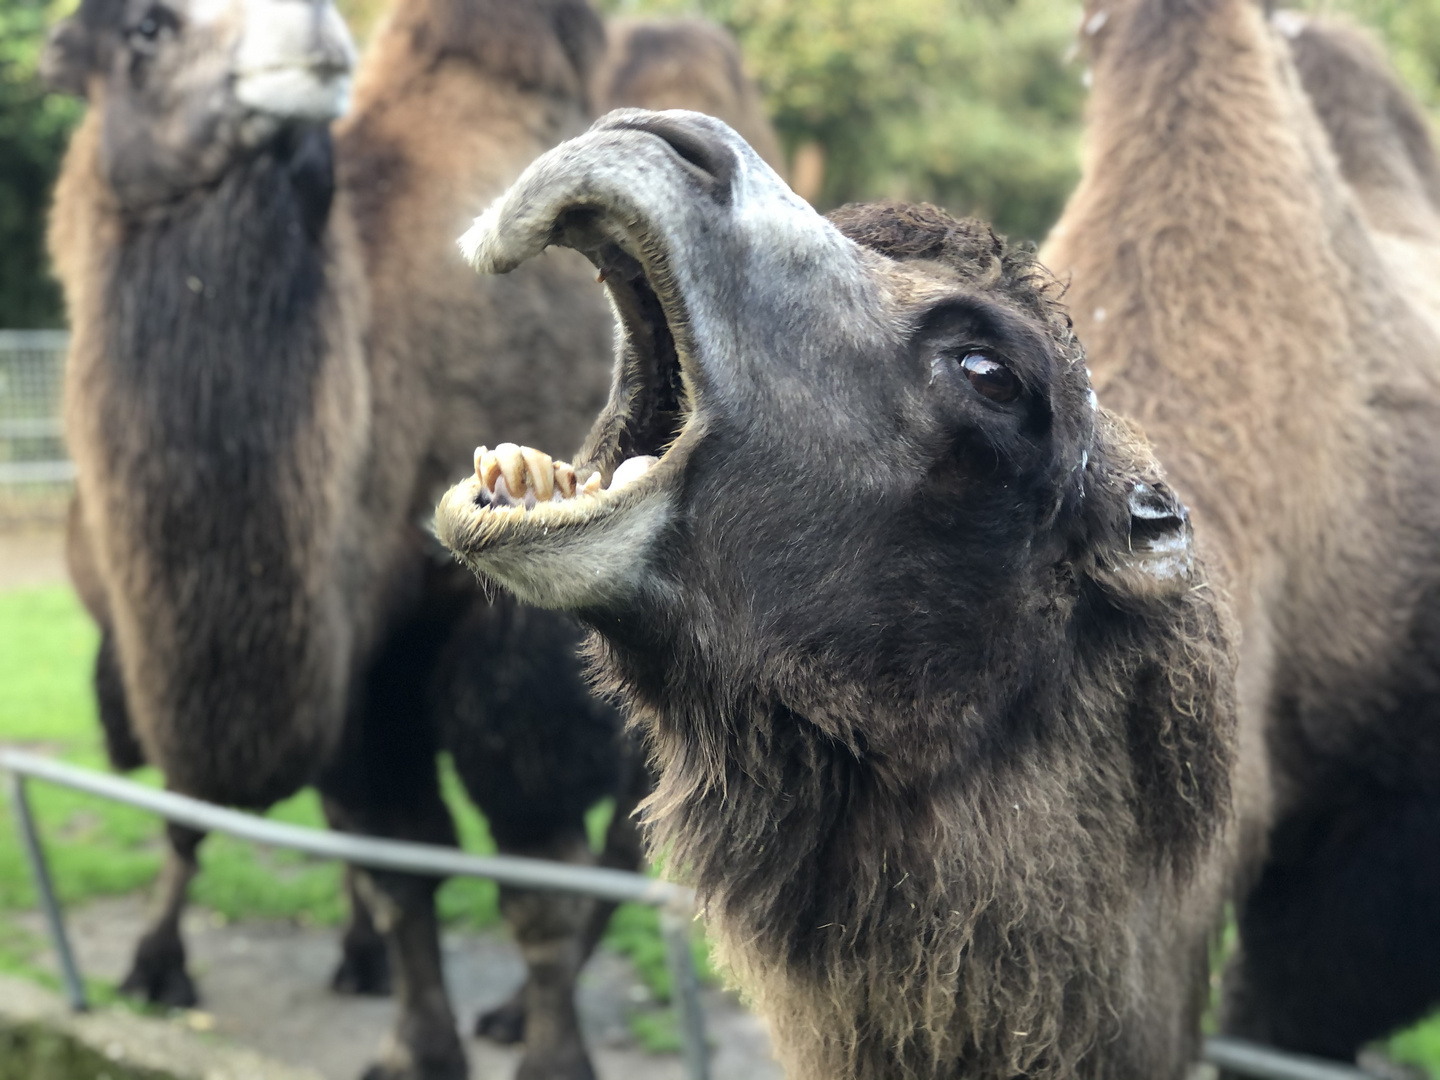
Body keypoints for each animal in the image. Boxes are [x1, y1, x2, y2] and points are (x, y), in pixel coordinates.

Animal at [43, 0, 635, 1076]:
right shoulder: (357, 655)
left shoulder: (522, 643)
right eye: (144, 30)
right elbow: (391, 858)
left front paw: (548, 1055)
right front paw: (415, 1044)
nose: (314, 29)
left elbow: (539, 882)